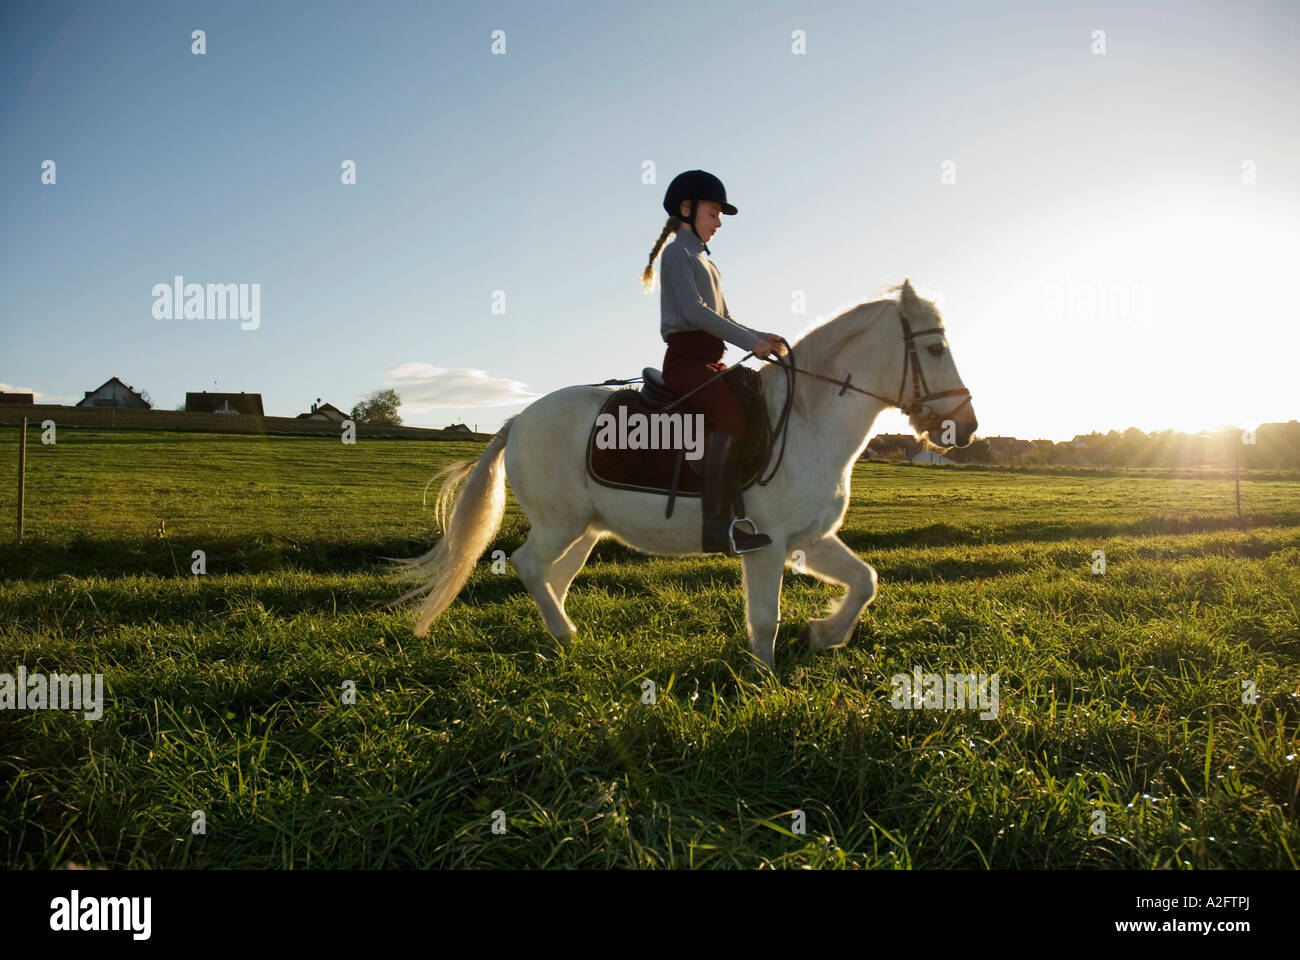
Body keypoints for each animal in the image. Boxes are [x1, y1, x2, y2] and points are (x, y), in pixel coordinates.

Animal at [384, 279, 978, 670]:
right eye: (935, 347)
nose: (966, 427)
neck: (808, 421)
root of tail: (518, 420)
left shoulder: (809, 539)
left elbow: (865, 580)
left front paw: (823, 634)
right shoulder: (766, 545)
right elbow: (765, 619)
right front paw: (766, 682)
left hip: (584, 531)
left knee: (552, 577)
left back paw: (563, 642)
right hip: (560, 524)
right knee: (530, 567)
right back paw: (569, 637)